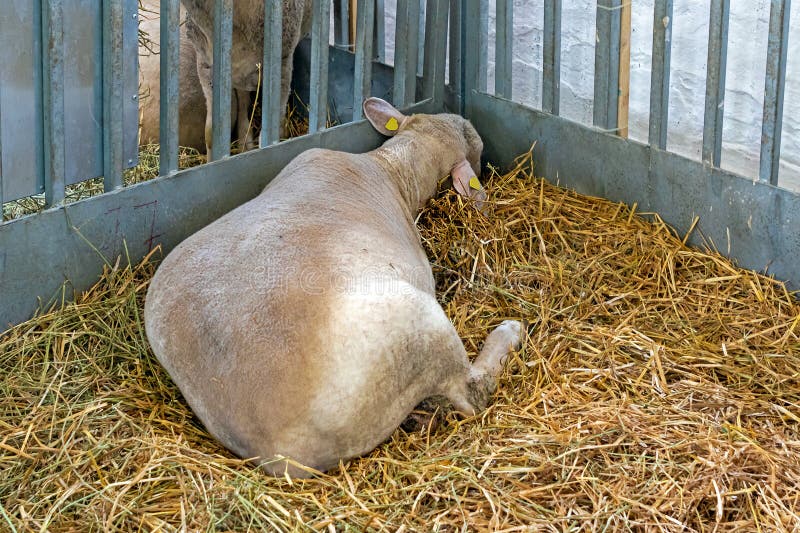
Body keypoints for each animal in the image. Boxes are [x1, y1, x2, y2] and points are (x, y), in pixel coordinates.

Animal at [144, 98, 523, 477]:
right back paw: (510, 331)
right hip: (418, 327)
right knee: (471, 395)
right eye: (477, 150)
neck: (393, 166)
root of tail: (277, 451)